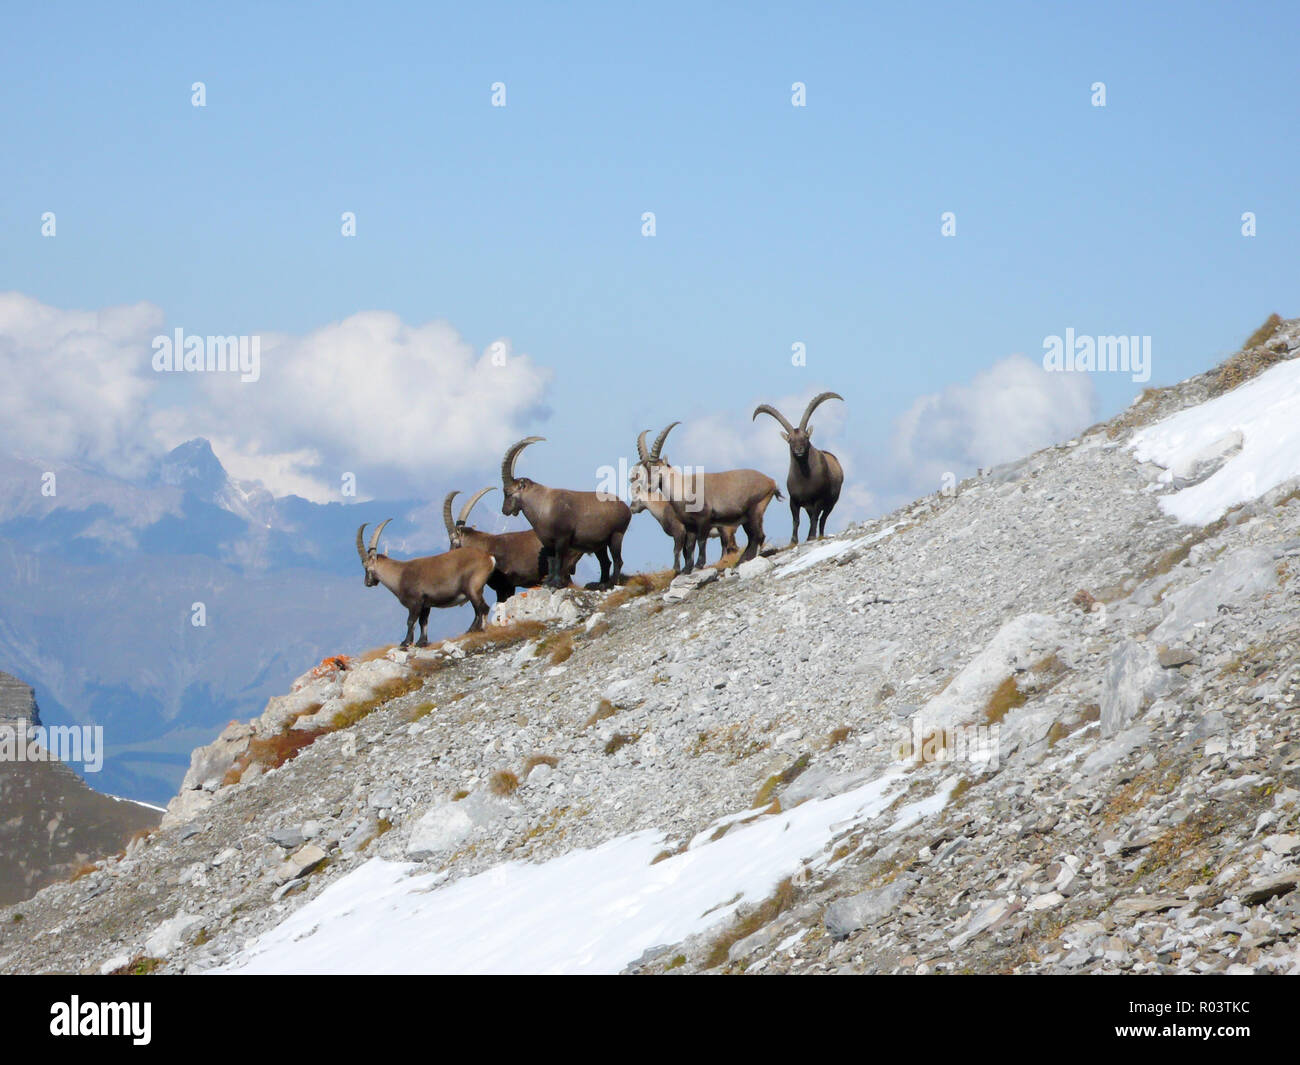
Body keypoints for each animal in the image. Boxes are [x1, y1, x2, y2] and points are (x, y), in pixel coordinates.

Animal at [356, 520, 495, 645]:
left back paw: (481, 629)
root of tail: (489, 557)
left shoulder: (415, 603)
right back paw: (472, 629)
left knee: (483, 608)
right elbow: (423, 622)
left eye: (366, 567)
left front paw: (406, 643)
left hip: (473, 589)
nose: (367, 583)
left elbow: (410, 621)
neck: (400, 575)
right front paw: (421, 642)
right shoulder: (426, 605)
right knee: (478, 610)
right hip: (474, 592)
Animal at [499, 437, 632, 589]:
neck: (542, 505)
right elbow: (551, 561)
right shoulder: (547, 541)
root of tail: (625, 508)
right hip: (600, 544)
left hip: (616, 535)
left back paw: (610, 584)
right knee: (605, 562)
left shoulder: (563, 538)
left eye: (508, 492)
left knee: (618, 561)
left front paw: (556, 583)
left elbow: (559, 560)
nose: (504, 510)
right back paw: (599, 584)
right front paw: (548, 582)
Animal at [630, 422, 781, 574]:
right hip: (745, 519)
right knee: (752, 537)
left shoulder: (703, 520)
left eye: (657, 469)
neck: (683, 488)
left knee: (758, 536)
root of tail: (771, 481)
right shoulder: (690, 526)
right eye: (646, 470)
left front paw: (698, 565)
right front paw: (687, 569)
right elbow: (689, 547)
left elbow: (699, 542)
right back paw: (741, 560)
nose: (649, 488)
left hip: (754, 511)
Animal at [753, 391, 844, 543]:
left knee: (822, 519)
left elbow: (815, 518)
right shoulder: (794, 501)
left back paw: (818, 535)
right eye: (790, 440)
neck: (804, 479)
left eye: (806, 437)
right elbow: (796, 520)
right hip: (808, 507)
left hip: (831, 503)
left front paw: (811, 536)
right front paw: (793, 540)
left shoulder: (818, 500)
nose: (799, 450)